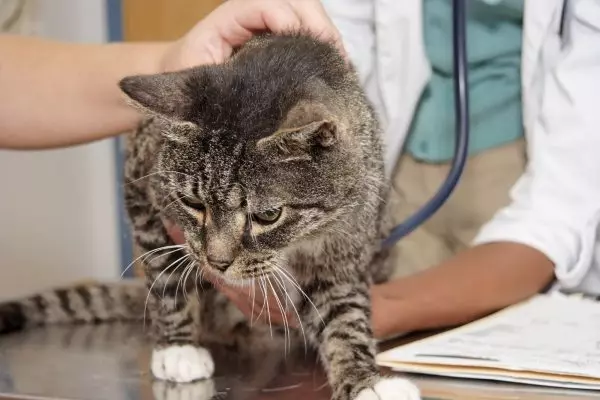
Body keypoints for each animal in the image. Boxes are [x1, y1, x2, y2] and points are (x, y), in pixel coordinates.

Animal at [0, 32, 422, 400]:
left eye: (268, 215)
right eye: (193, 203)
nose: (217, 262)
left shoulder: (343, 251)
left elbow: (345, 317)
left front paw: (364, 380)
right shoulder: (141, 188)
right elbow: (166, 276)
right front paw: (178, 348)